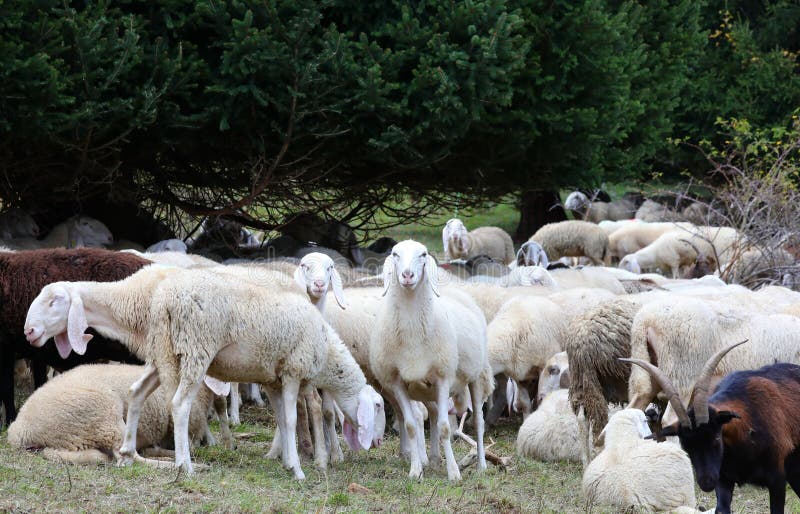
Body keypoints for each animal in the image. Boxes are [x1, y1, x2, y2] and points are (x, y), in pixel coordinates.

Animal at [7, 363, 231, 466]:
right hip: (103, 416)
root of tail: (20, 431)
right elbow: (190, 446)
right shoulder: (188, 427)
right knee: (128, 458)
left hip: (67, 440)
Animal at [370, 240, 492, 480]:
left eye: (423, 254)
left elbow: (445, 427)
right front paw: (415, 470)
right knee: (434, 415)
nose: (407, 275)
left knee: (479, 422)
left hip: (477, 375)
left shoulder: (443, 377)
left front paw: (453, 473)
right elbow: (410, 425)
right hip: (428, 391)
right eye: (395, 254)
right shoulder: (396, 382)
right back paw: (434, 459)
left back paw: (482, 464)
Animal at [626, 345, 800, 514]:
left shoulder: (777, 478)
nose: (706, 483)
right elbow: (721, 509)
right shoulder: (723, 479)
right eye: (686, 446)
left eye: (716, 438)